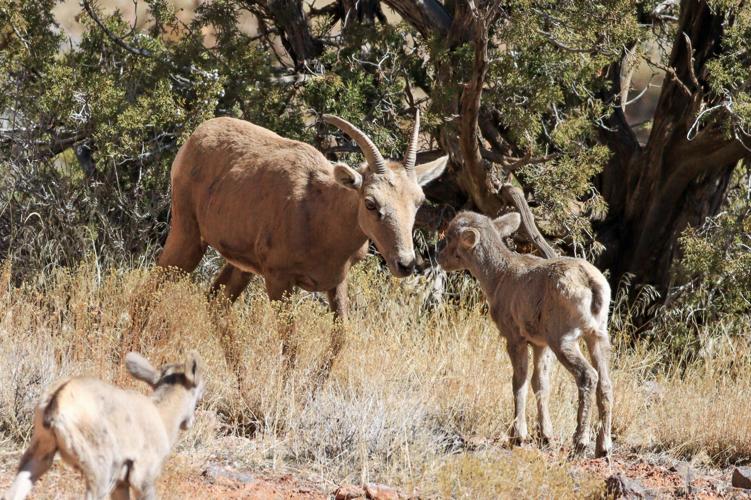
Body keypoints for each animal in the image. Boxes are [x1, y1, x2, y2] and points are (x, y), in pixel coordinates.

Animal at [2, 351, 205, 499]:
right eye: (199, 393)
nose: (189, 423)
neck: (162, 417)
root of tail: (57, 398)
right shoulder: (143, 479)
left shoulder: (121, 484)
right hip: (100, 471)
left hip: (40, 454)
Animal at [437, 211, 613, 457]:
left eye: (452, 238)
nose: (439, 257)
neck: (498, 279)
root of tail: (593, 285)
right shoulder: (540, 342)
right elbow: (540, 383)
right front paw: (545, 435)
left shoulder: (515, 337)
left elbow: (518, 381)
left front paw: (518, 435)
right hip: (597, 334)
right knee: (606, 382)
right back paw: (603, 446)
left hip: (563, 336)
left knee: (588, 375)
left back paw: (580, 442)